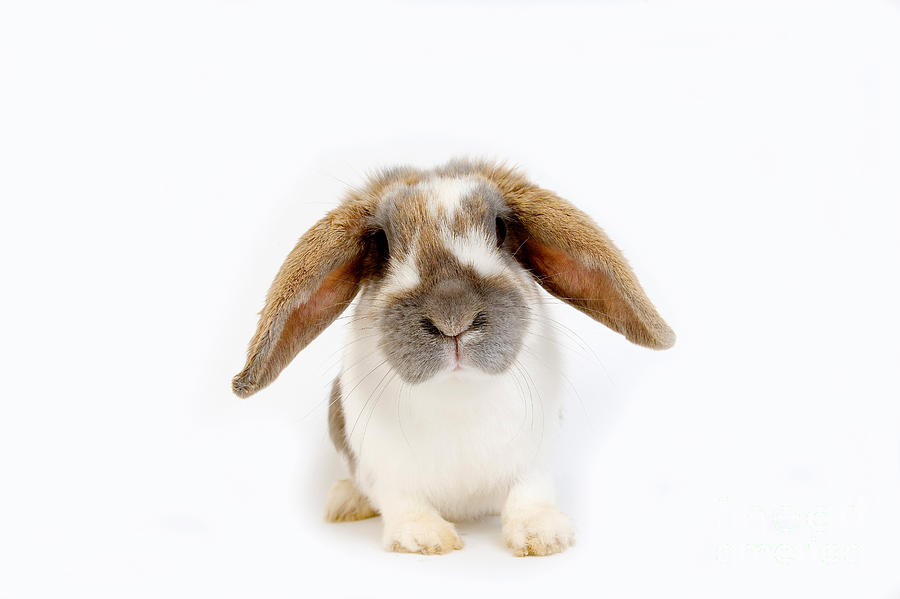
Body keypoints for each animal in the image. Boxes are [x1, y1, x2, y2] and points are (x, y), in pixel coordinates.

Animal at [232, 159, 675, 556]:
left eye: (501, 229)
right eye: (382, 244)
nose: (453, 317)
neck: (457, 390)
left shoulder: (535, 456)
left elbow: (529, 493)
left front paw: (543, 535)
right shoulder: (385, 468)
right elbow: (402, 501)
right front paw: (425, 538)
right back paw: (346, 503)